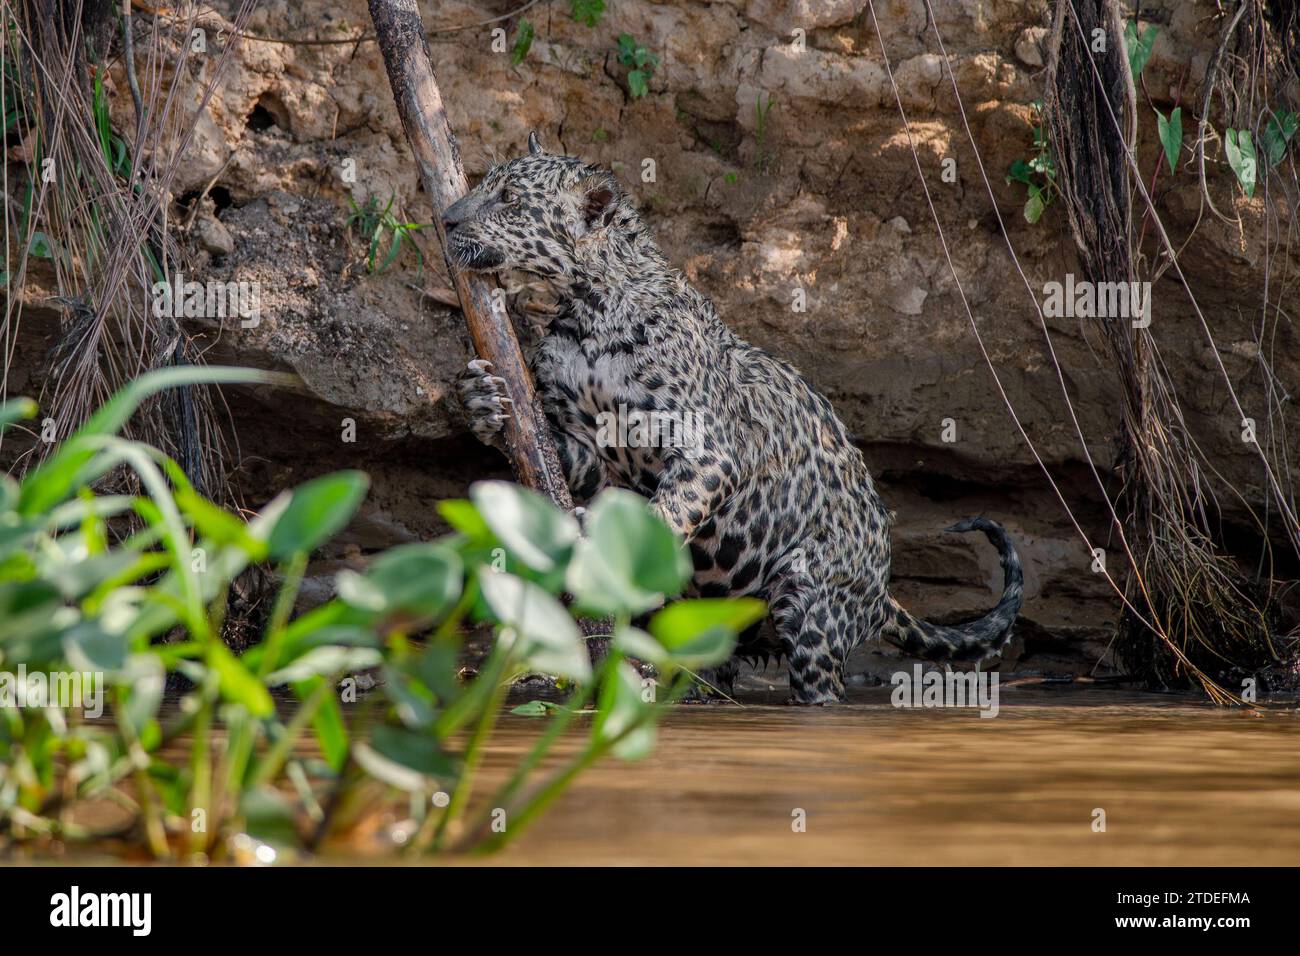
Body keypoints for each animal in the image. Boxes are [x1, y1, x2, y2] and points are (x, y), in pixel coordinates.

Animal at [446, 132, 1023, 704]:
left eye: (510, 201)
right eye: (485, 186)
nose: (447, 219)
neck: (587, 311)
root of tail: (884, 589)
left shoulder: (709, 449)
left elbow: (669, 507)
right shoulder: (595, 452)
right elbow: (558, 450)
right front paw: (482, 400)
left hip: (812, 610)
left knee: (821, 683)